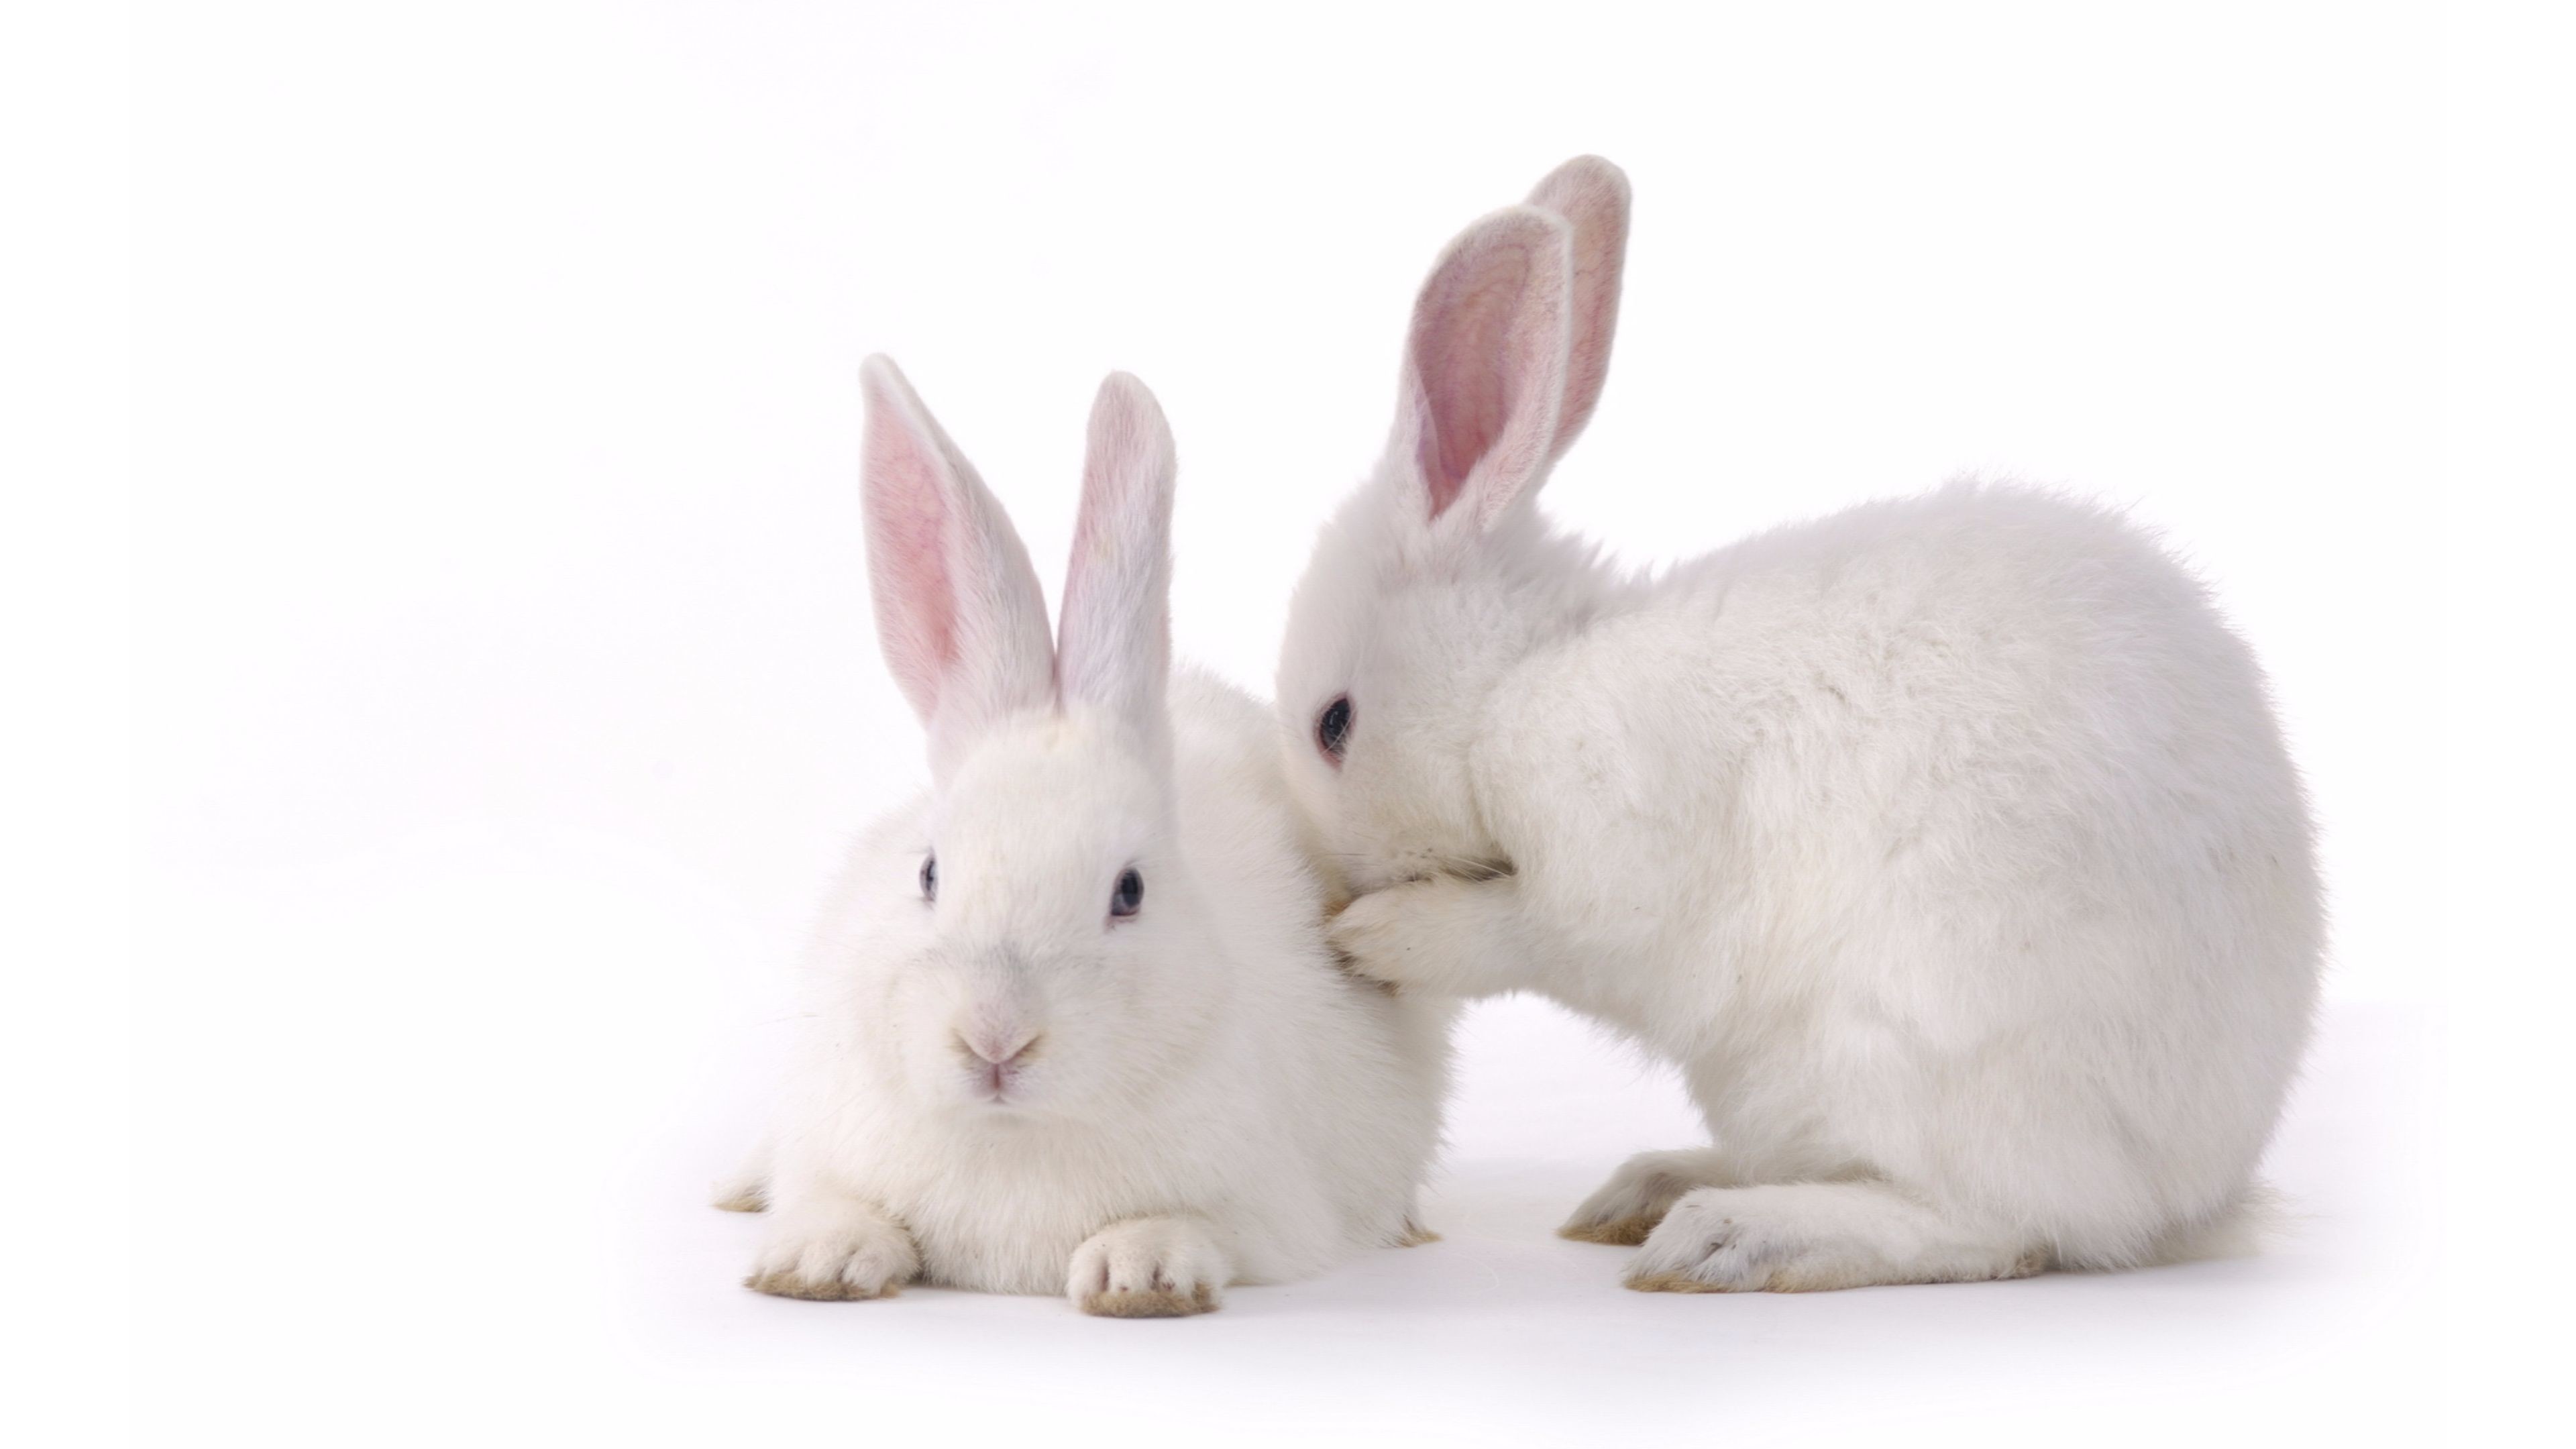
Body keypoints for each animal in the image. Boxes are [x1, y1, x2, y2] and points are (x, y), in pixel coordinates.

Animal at [737, 357, 1450, 1317]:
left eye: (1129, 891)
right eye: (928, 873)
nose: (995, 1039)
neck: (1013, 1137)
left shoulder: (1271, 1216)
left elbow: (1197, 1228)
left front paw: (1137, 1272)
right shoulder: (829, 1135)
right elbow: (833, 1199)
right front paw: (819, 1261)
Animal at [1277, 156, 2323, 1292]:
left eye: (1335, 725)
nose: (1335, 881)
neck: (1514, 685)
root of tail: (2194, 1190)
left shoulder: (1598, 866)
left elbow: (1513, 933)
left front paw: (1375, 937)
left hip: (1905, 1061)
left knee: (1994, 1224)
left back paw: (1726, 1237)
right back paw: (1648, 1188)